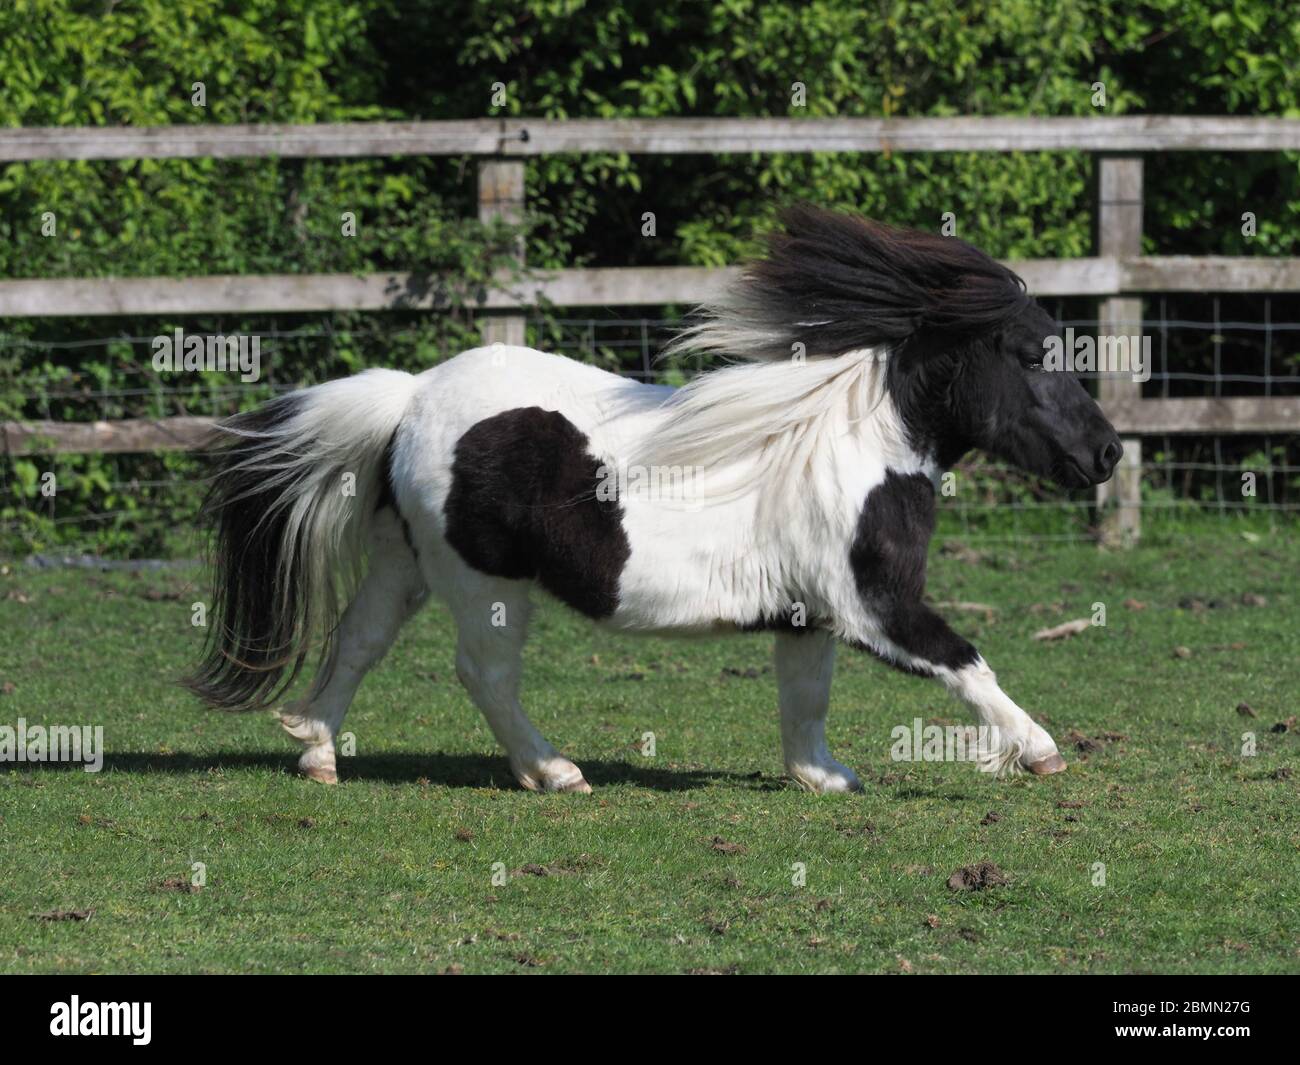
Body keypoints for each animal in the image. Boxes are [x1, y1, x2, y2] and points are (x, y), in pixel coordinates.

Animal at [184, 204, 1122, 793]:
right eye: (1033, 354)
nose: (1106, 452)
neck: (852, 449)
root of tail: (411, 396)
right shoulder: (876, 606)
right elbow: (966, 663)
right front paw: (1040, 752)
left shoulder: (808, 613)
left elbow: (805, 698)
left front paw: (823, 777)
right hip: (485, 584)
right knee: (483, 673)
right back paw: (553, 771)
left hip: (403, 562)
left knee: (357, 641)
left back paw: (318, 754)